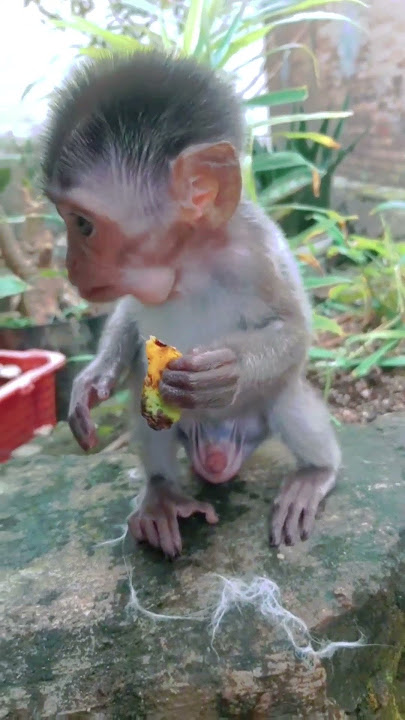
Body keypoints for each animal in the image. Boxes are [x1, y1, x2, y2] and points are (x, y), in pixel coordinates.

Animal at [42, 50, 341, 558]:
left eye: (83, 225)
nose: (69, 265)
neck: (187, 262)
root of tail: (221, 452)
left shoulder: (258, 252)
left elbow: (295, 331)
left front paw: (226, 369)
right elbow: (130, 320)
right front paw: (93, 379)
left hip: (255, 421)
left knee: (283, 393)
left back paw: (316, 472)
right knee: (143, 381)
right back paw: (163, 495)